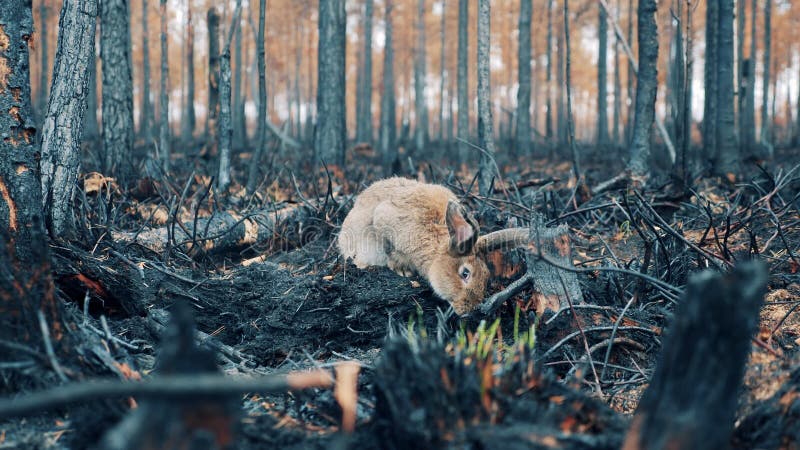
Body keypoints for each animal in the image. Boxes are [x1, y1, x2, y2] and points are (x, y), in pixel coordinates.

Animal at [338, 177, 528, 315]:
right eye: (465, 273)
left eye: (487, 275)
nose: (471, 309)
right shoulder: (382, 221)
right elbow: (391, 251)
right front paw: (403, 270)